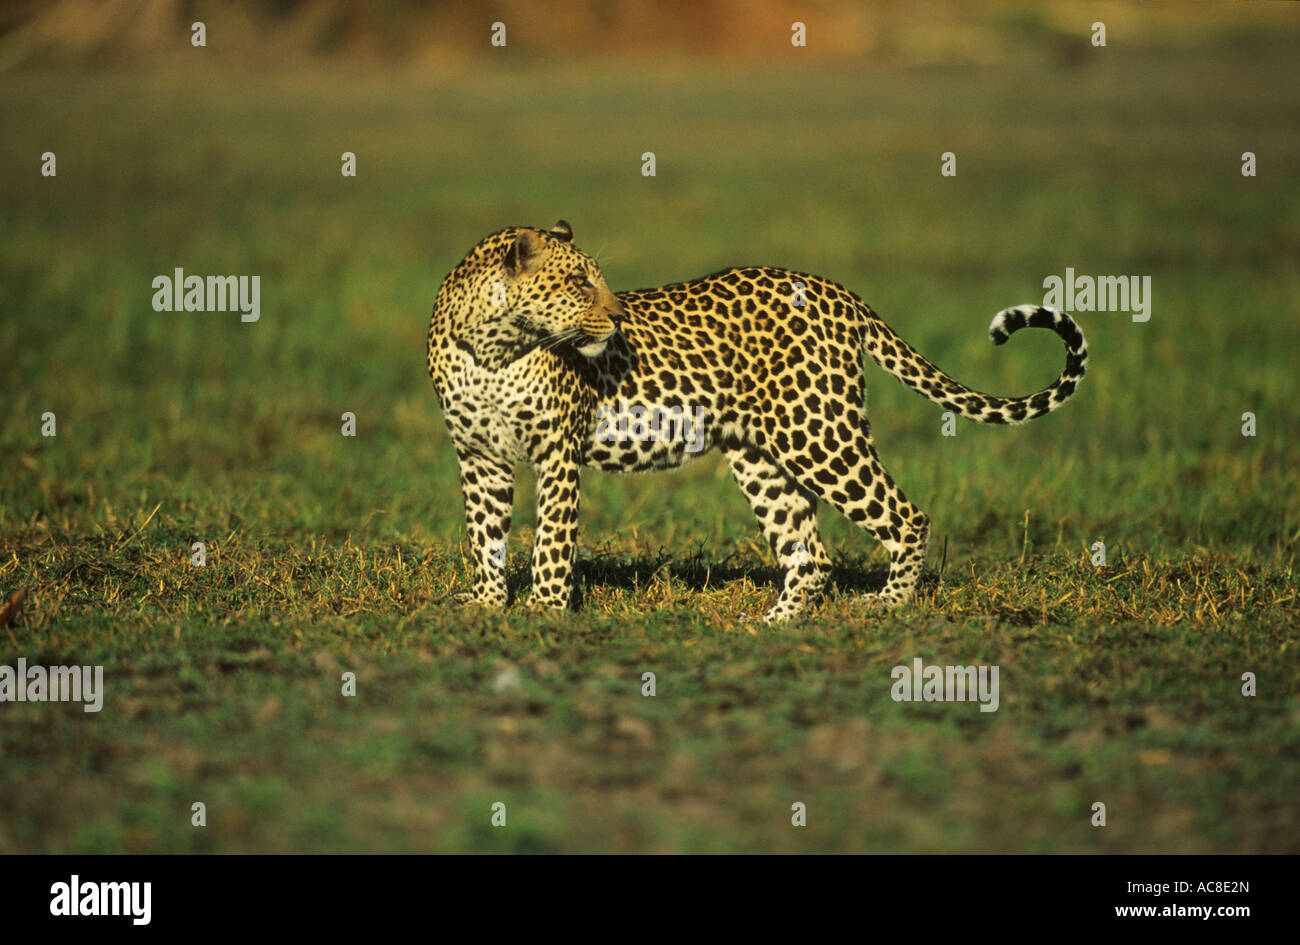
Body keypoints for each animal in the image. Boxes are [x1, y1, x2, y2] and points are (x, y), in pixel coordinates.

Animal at [426, 221, 1087, 622]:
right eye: (576, 283)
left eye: (598, 280)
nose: (616, 319)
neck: (492, 347)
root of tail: (835, 290)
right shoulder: (478, 457)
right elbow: (484, 533)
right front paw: (486, 603)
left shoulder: (557, 453)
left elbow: (552, 539)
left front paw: (544, 608)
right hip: (763, 455)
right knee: (810, 555)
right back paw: (773, 623)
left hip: (819, 433)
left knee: (907, 518)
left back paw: (887, 606)